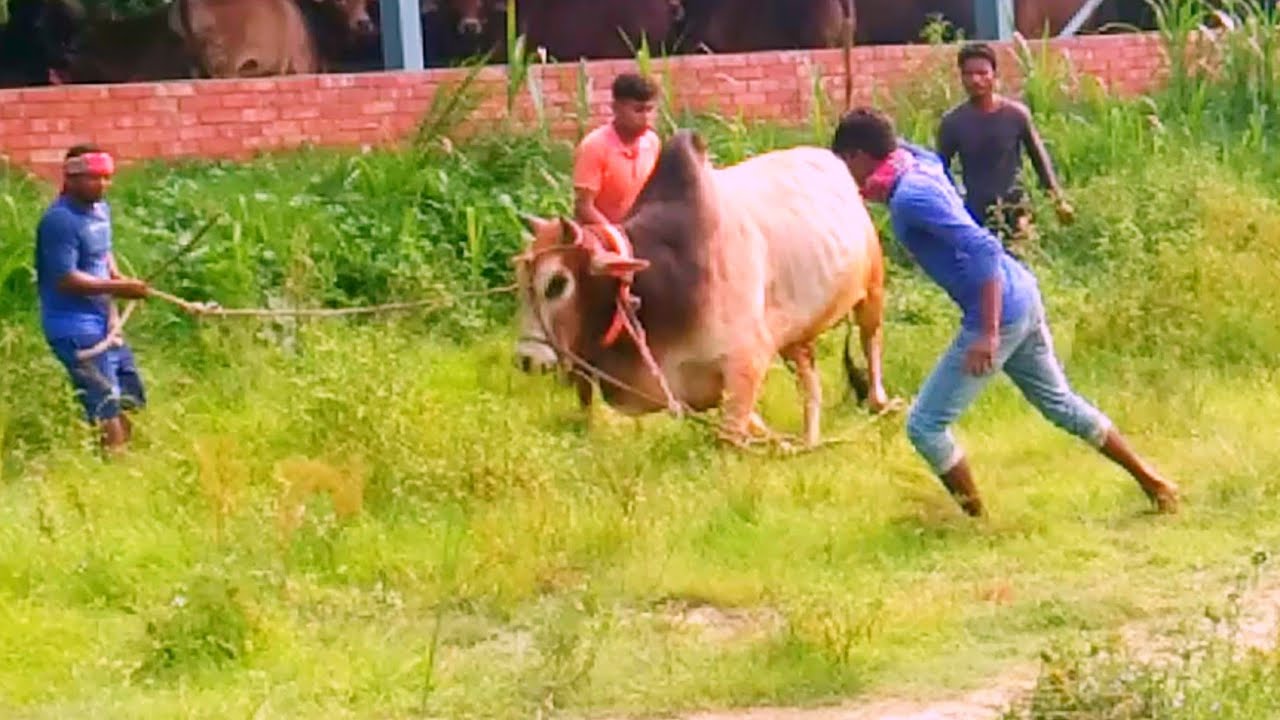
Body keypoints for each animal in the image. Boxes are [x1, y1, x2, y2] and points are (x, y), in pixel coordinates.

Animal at [512, 130, 892, 449]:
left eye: (557, 283)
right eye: (520, 283)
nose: (527, 359)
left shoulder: (746, 360)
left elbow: (729, 437)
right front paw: (781, 443)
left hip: (872, 290)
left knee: (870, 343)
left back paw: (879, 403)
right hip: (796, 336)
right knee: (811, 387)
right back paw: (809, 440)